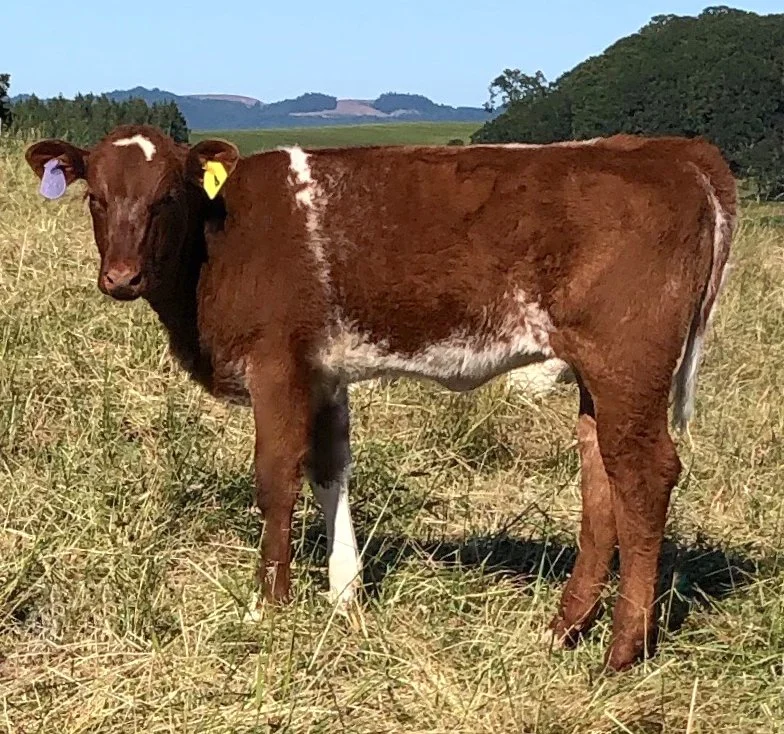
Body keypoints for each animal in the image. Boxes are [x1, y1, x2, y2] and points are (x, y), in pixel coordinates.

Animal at [25, 125, 736, 671]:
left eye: (168, 197)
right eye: (95, 197)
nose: (120, 277)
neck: (213, 246)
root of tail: (666, 151)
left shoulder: (277, 363)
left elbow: (276, 478)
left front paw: (266, 605)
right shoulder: (325, 371)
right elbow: (330, 470)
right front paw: (345, 592)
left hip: (627, 362)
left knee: (645, 475)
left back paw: (620, 652)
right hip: (599, 375)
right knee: (602, 480)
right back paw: (563, 630)